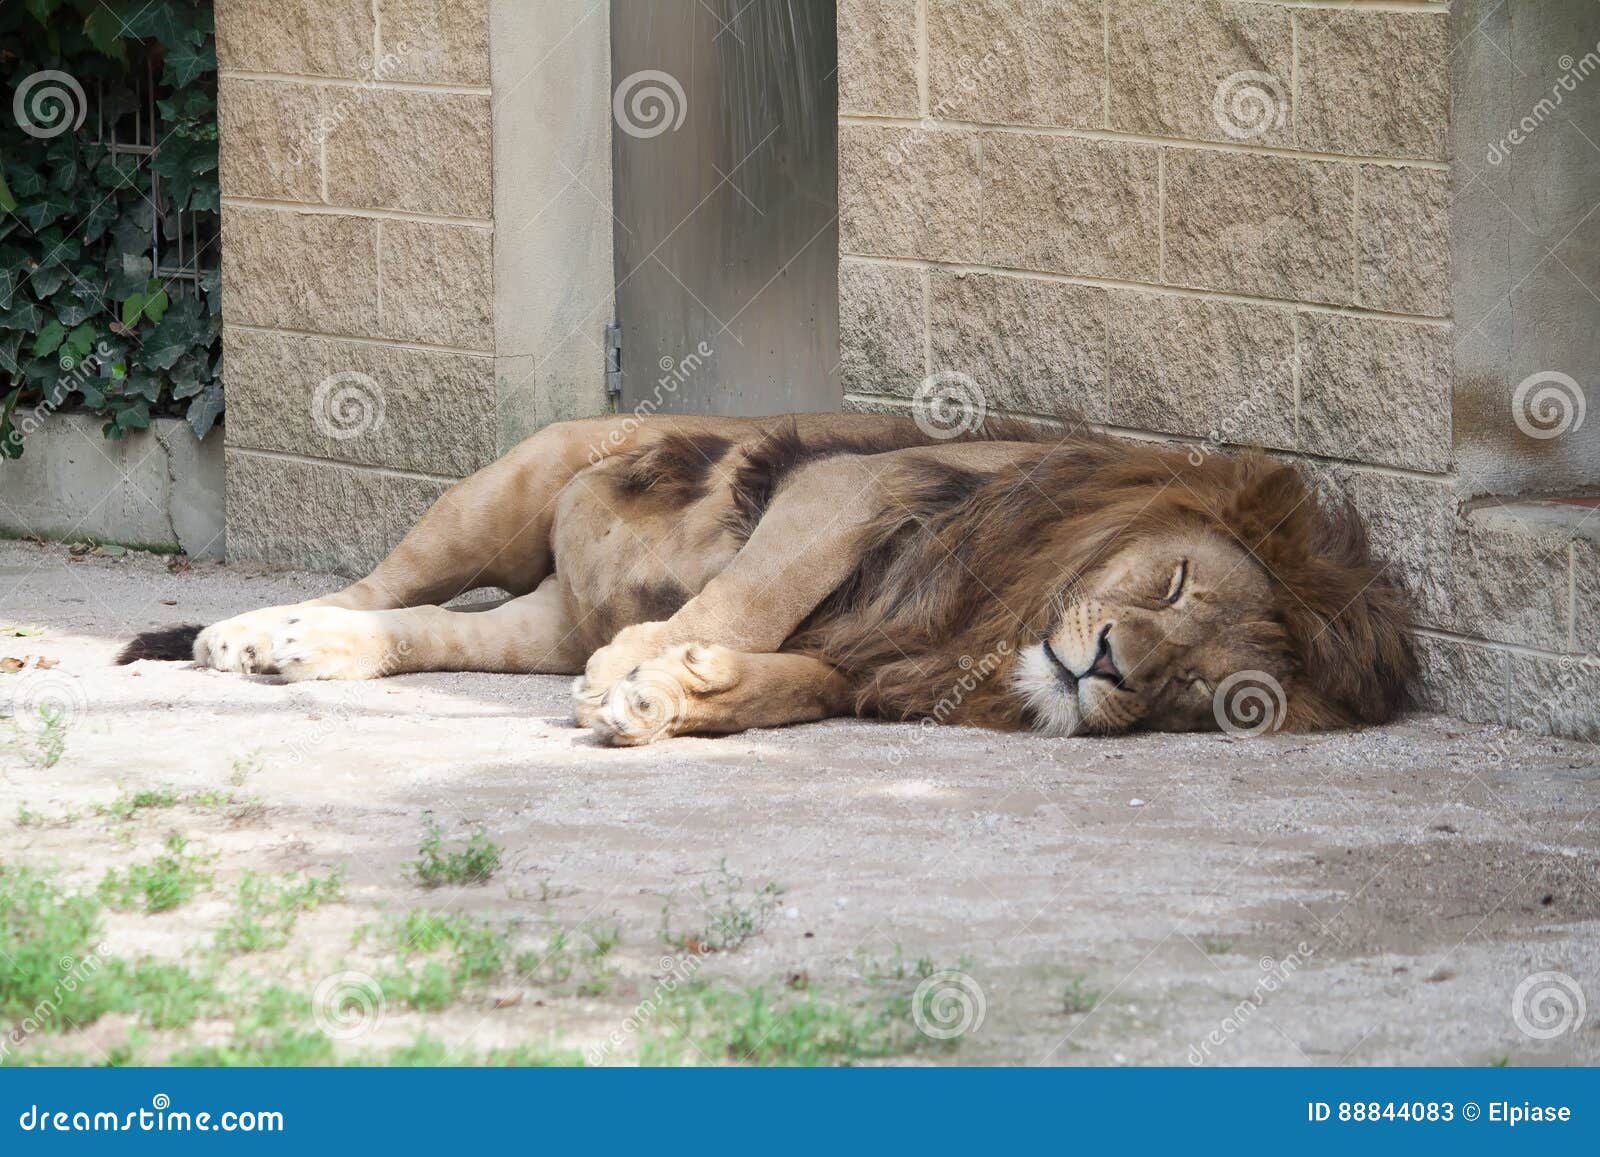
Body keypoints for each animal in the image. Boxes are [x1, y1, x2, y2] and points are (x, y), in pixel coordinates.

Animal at [119, 413, 1416, 745]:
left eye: (1206, 695)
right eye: (1175, 583)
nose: (1106, 666)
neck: (996, 622)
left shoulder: (878, 663)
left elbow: (791, 676)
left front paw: (669, 694)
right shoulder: (860, 487)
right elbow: (757, 592)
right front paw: (641, 665)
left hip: (532, 620)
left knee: (427, 634)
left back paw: (305, 650)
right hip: (505, 490)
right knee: (379, 588)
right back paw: (257, 632)